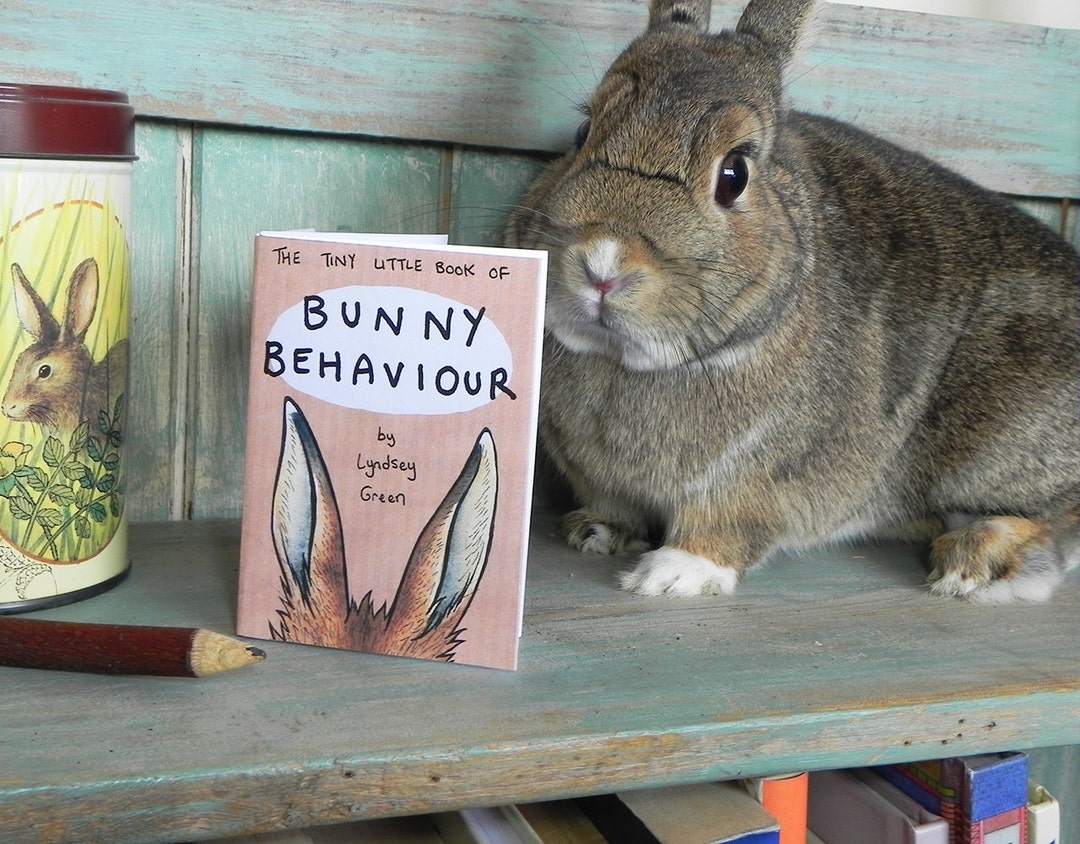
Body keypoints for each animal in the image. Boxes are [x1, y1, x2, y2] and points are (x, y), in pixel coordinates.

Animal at [506, 0, 1080, 603]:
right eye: (582, 131)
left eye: (734, 175)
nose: (603, 263)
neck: (625, 360)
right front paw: (597, 532)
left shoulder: (761, 481)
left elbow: (723, 525)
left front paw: (673, 575)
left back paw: (974, 560)